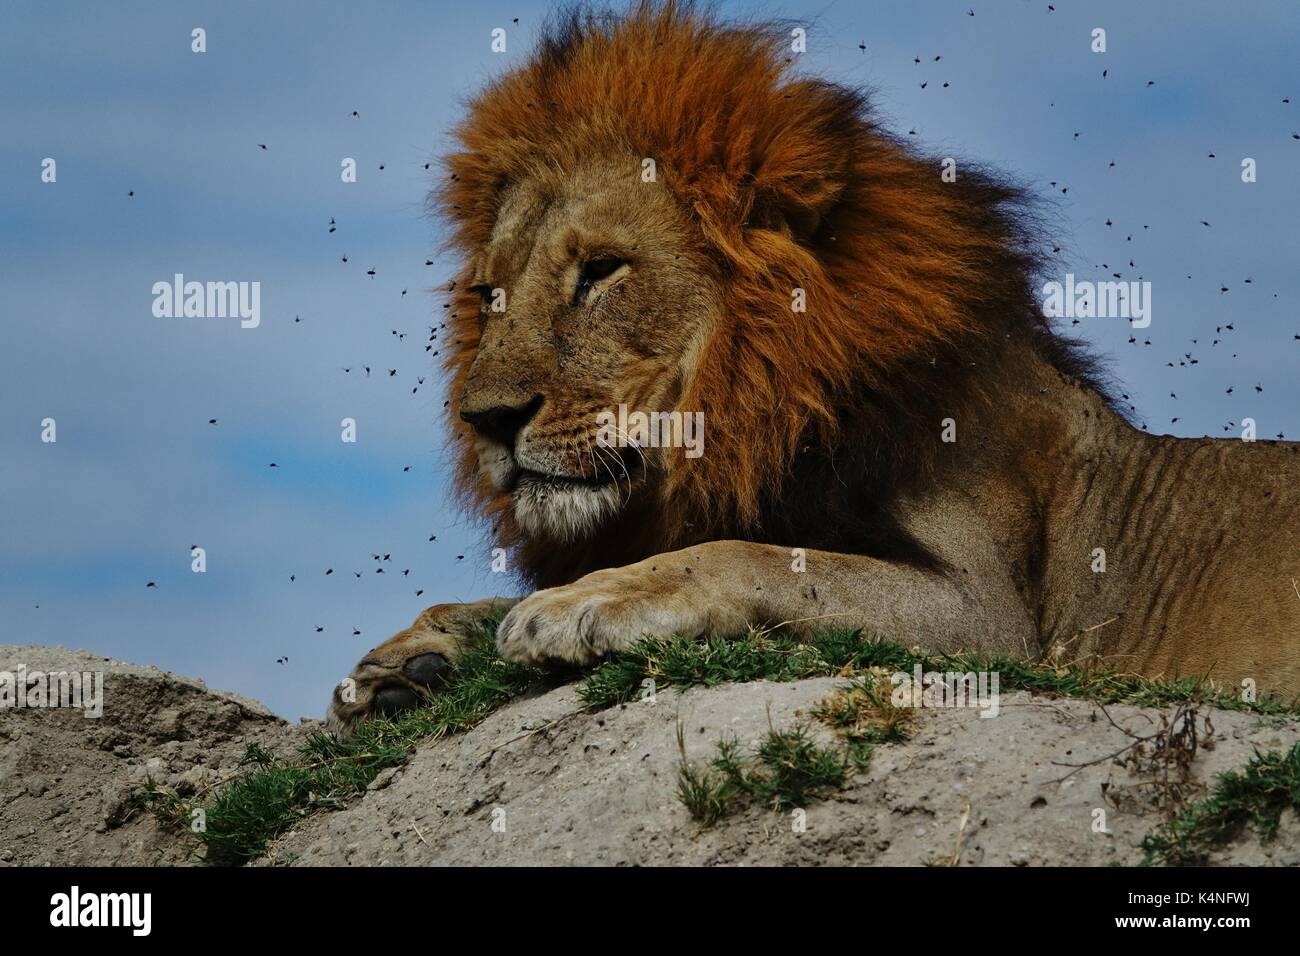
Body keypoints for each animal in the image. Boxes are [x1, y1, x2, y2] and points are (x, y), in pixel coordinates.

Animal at [327, 1, 1300, 736]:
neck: (759, 418)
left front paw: (581, 601)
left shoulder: (993, 620)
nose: (486, 421)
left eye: (601, 270)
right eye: (490, 293)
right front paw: (411, 660)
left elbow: (749, 557)